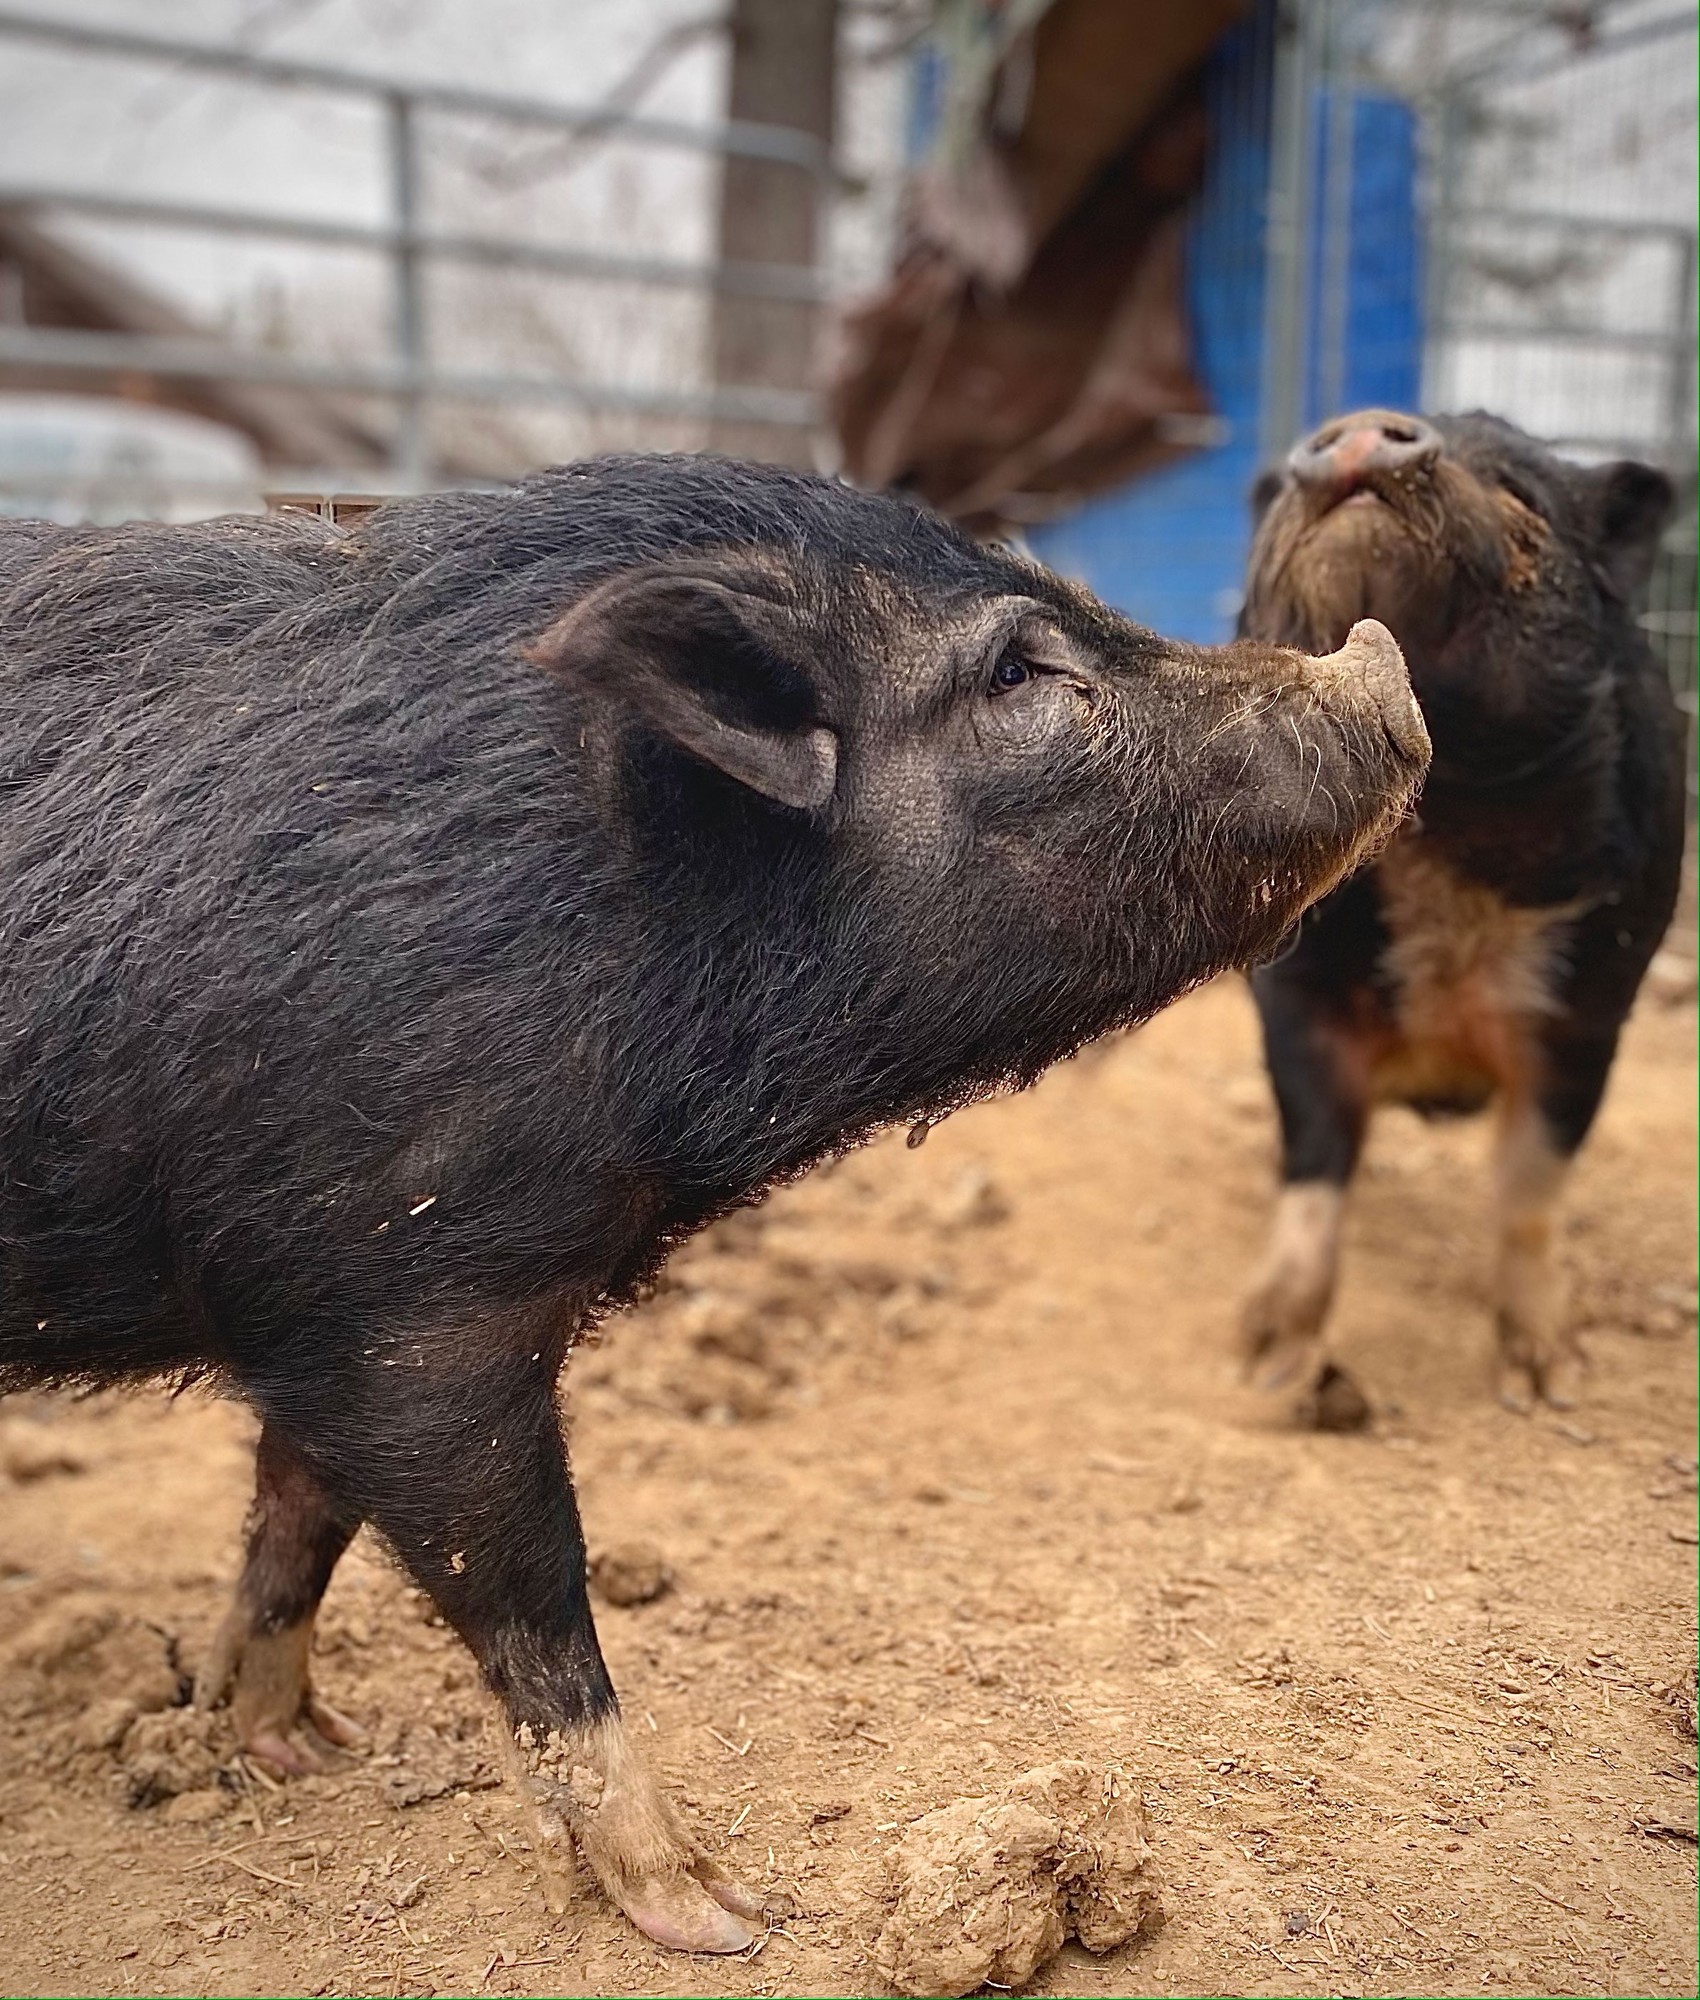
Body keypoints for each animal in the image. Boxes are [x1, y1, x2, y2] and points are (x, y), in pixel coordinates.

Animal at [0, 454, 1426, 1951]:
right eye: (1018, 670)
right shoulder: (411, 1304)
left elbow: (297, 1516)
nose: (1375, 654)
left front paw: (290, 1747)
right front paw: (721, 1912)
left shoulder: (316, 1303)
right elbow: (520, 1579)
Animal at [1237, 409, 1683, 1427]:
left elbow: (1530, 1185)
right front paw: (1264, 1372)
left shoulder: (1592, 1006)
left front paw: (1547, 1386)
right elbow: (1313, 1152)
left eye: (1522, 494)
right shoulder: (1295, 992)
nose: (1360, 428)